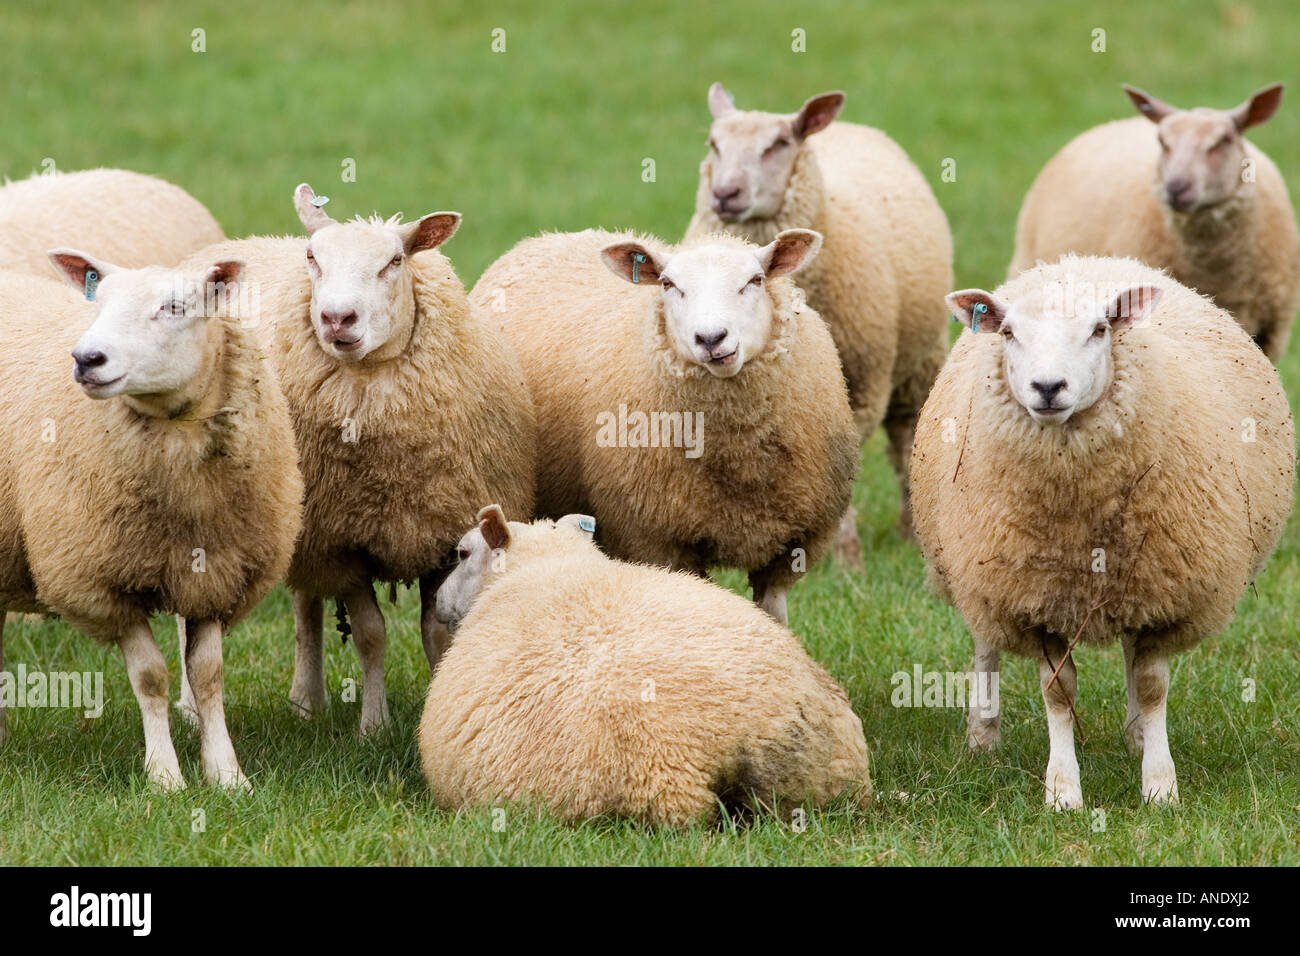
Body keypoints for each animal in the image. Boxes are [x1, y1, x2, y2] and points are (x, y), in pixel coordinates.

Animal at [0, 251, 303, 790]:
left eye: (176, 306)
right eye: (98, 301)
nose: (86, 359)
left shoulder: (217, 575)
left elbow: (208, 676)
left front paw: (227, 774)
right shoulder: (104, 583)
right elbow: (151, 677)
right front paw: (164, 776)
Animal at [179, 185, 536, 734]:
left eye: (395, 261)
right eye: (312, 259)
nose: (336, 319)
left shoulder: (438, 530)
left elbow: (435, 631)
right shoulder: (343, 544)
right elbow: (371, 633)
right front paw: (375, 725)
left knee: (305, 605)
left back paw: (307, 702)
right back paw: (194, 710)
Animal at [470, 228, 858, 626]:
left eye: (755, 280)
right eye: (669, 284)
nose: (711, 338)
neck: (740, 456)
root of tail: (550, 236)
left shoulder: (791, 549)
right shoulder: (658, 542)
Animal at [684, 83, 954, 552]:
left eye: (779, 143)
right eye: (714, 144)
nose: (725, 194)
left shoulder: (860, 386)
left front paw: (846, 555)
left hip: (920, 363)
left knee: (907, 442)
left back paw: (909, 531)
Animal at [909, 255, 1295, 809]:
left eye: (1098, 330)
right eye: (1008, 332)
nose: (1048, 388)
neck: (1079, 515)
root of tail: (1081, 261)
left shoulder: (1161, 591)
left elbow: (1152, 685)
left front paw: (1160, 784)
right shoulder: (1035, 598)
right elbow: (1058, 692)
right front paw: (1063, 792)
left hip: (1132, 577)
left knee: (1133, 655)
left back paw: (1136, 735)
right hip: (979, 571)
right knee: (986, 643)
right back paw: (983, 736)